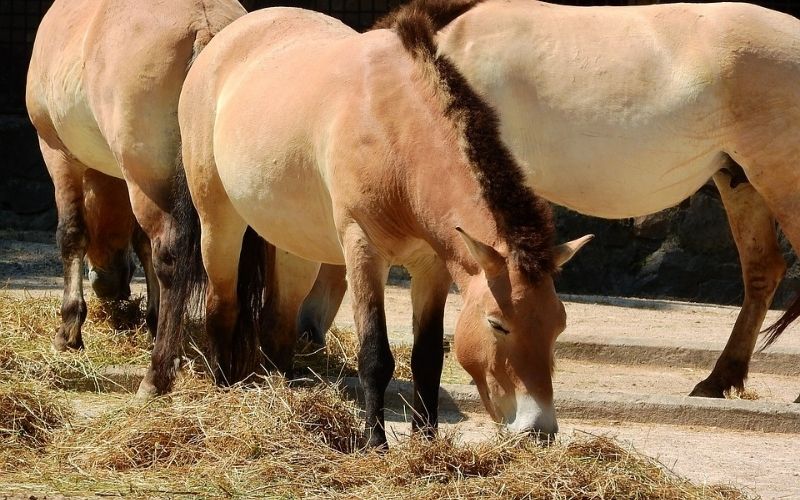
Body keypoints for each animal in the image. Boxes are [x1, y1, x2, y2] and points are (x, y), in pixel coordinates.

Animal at [26, 0, 246, 392]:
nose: (108, 285)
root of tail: (204, 24)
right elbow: (142, 245)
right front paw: (154, 324)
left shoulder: (58, 154)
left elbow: (72, 235)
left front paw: (68, 332)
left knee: (170, 257)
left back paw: (156, 375)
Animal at [175, 5, 590, 446]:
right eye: (497, 324)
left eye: (559, 324)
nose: (539, 429)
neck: (393, 128)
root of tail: (220, 43)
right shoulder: (363, 251)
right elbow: (375, 355)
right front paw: (375, 443)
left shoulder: (431, 266)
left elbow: (427, 358)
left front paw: (426, 440)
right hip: (219, 222)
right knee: (223, 306)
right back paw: (224, 391)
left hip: (295, 245)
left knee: (277, 325)